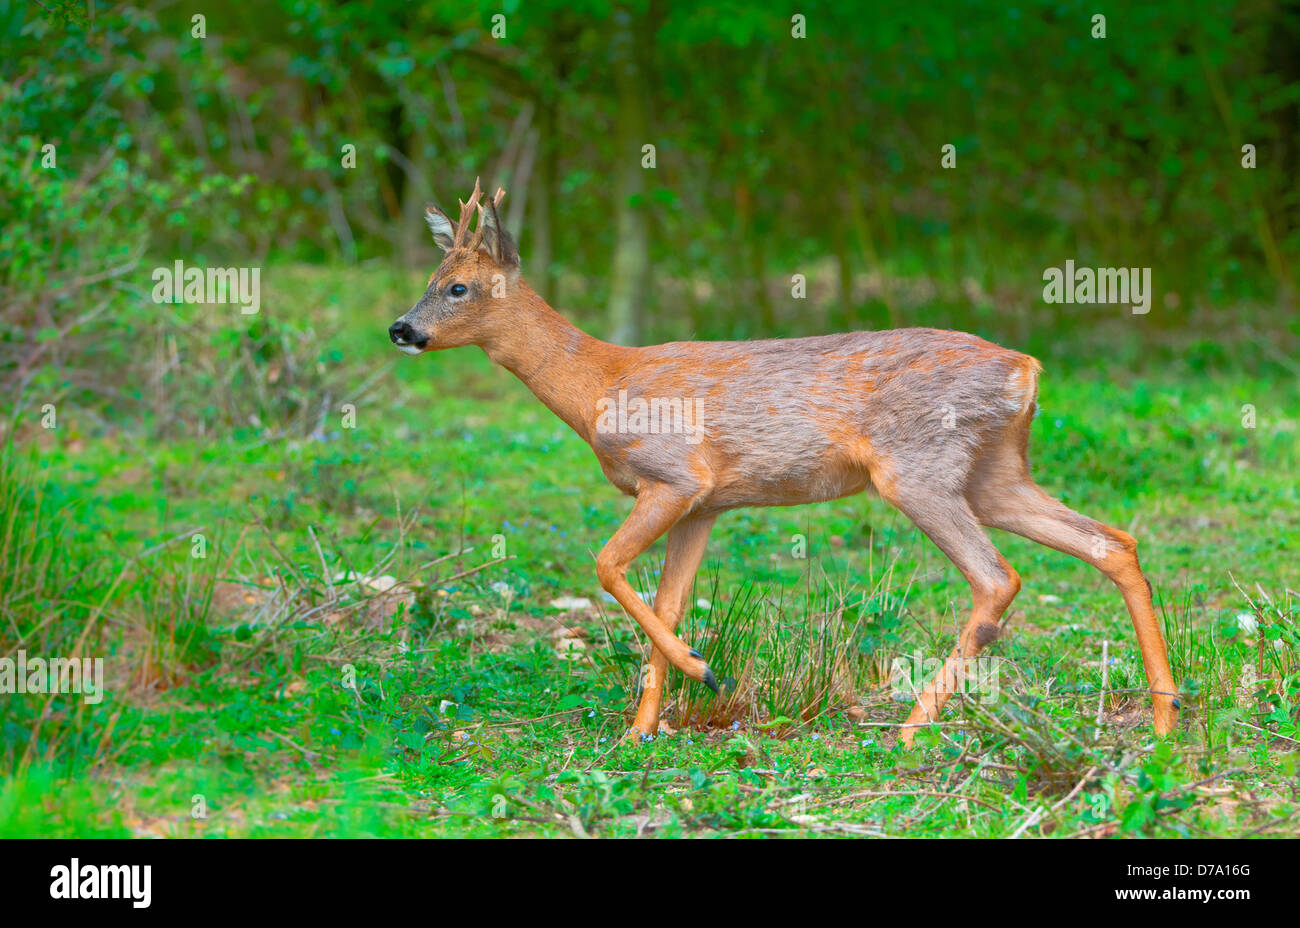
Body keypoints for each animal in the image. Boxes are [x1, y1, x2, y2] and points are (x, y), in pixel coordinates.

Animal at [388, 179, 1180, 746]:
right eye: (429, 276)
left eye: (458, 287)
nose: (401, 328)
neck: (599, 386)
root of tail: (1029, 369)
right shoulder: (704, 504)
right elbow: (666, 602)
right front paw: (642, 730)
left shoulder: (674, 476)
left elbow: (606, 565)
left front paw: (703, 672)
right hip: (995, 472)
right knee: (1112, 541)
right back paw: (1166, 715)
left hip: (918, 467)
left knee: (999, 578)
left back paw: (910, 729)